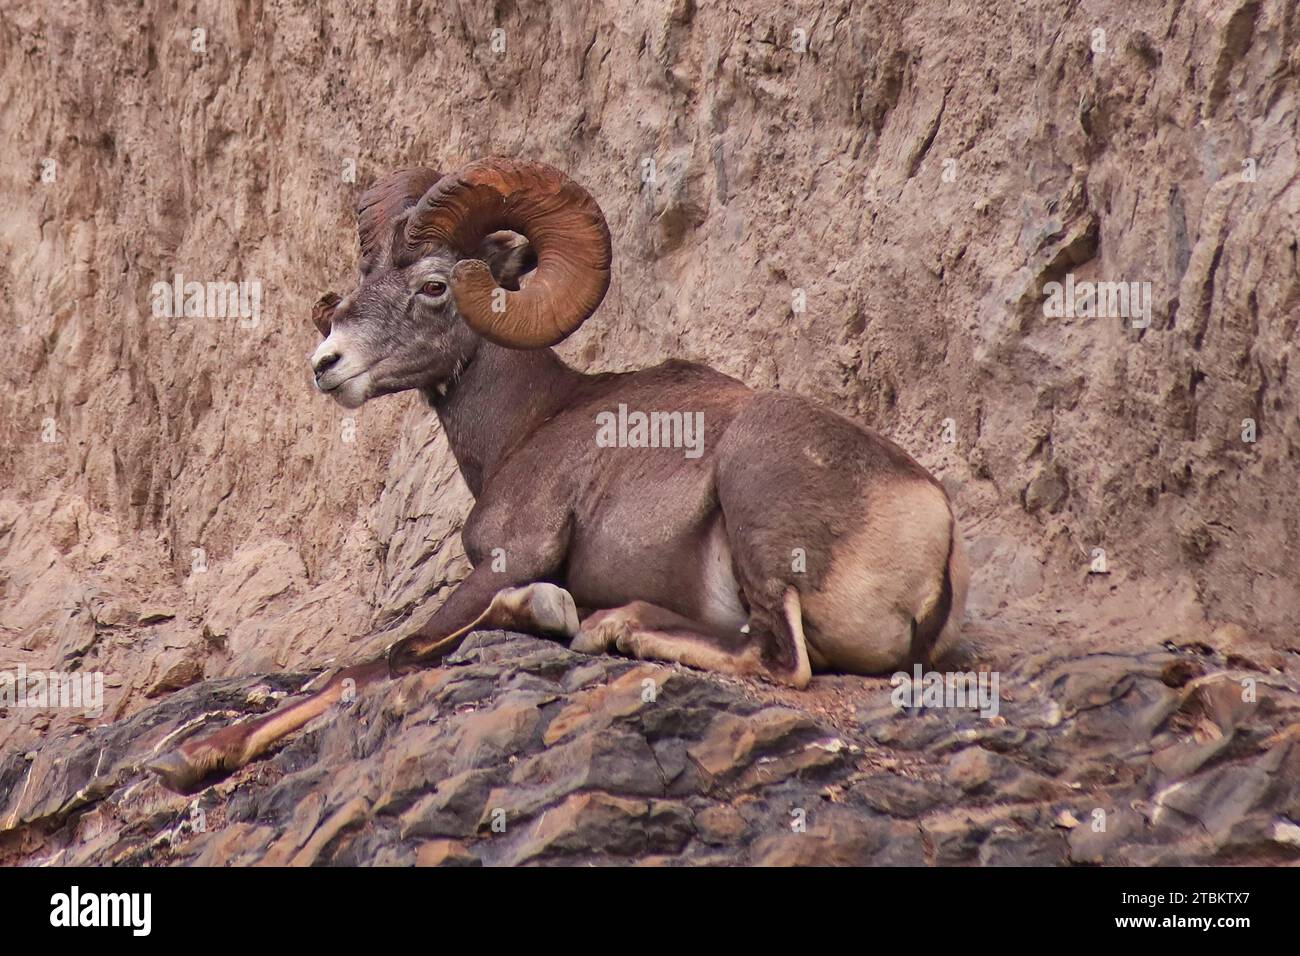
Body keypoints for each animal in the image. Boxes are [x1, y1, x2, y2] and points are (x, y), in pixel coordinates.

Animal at [149, 158, 968, 793]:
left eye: (436, 287)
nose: (327, 364)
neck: (529, 423)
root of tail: (928, 523)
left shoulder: (510, 554)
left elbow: (376, 662)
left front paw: (190, 757)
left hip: (755, 497)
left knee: (780, 660)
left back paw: (610, 622)